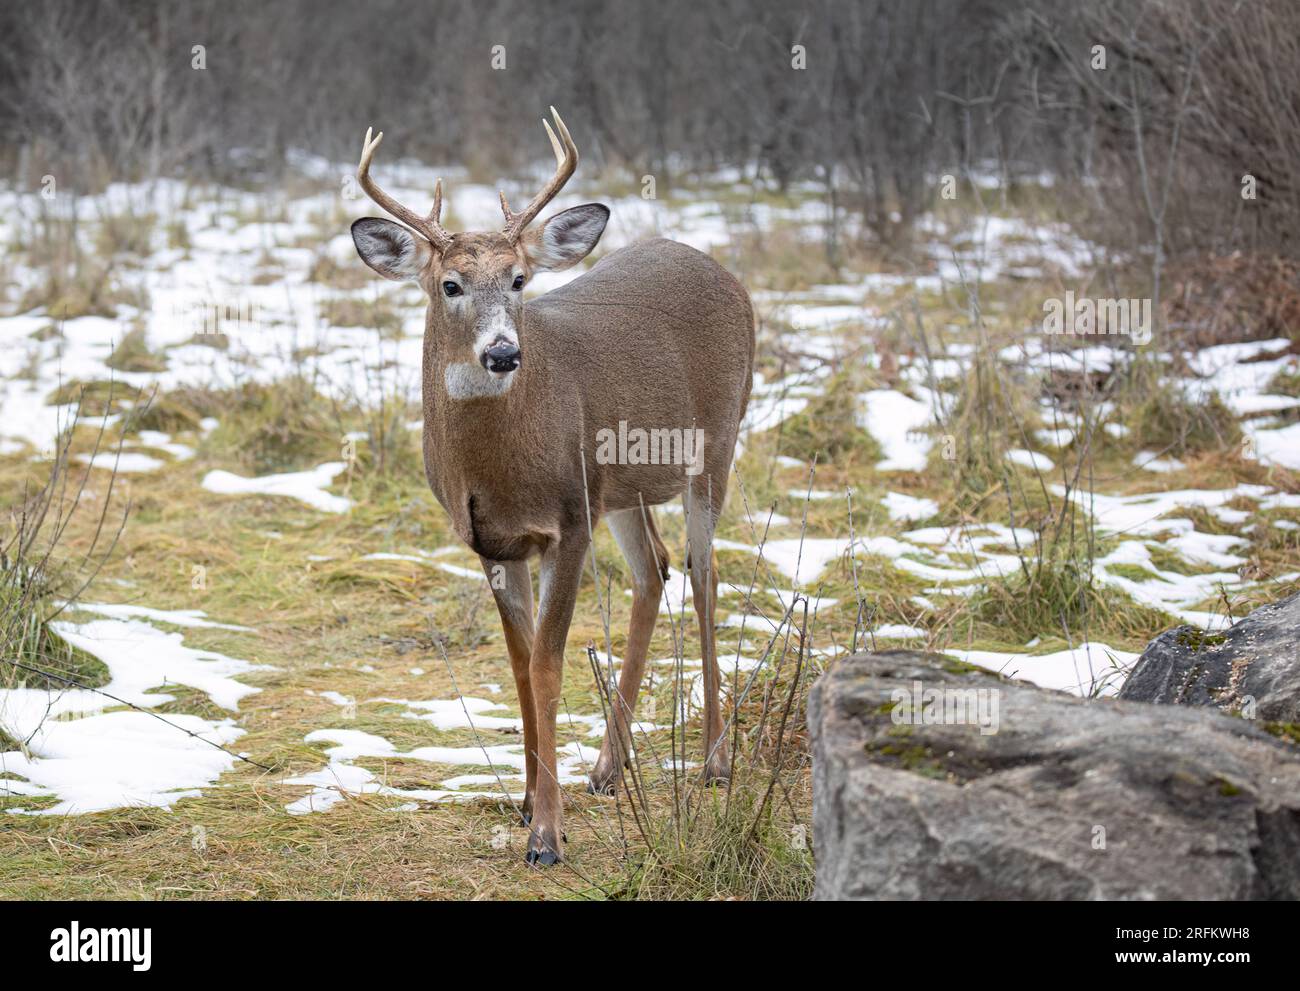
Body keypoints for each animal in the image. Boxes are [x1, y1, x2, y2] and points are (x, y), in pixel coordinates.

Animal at [350, 108, 754, 866]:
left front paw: (545, 832)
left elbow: (547, 661)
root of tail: (723, 271)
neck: (500, 469)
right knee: (654, 568)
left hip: (716, 442)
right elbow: (516, 664)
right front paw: (522, 801)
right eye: (450, 285)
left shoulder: (567, 518)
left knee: (705, 572)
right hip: (620, 487)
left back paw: (716, 759)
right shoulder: (493, 540)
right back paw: (607, 767)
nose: (503, 352)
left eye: (517, 279)